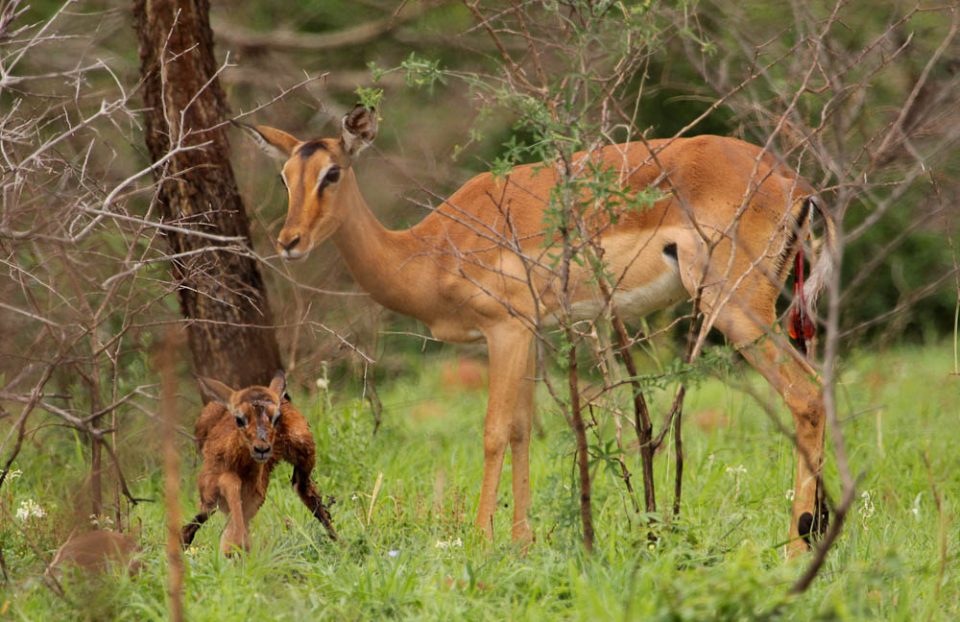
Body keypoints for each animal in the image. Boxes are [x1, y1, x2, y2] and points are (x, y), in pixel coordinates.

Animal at [181, 371, 336, 555]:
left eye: (276, 418)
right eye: (239, 419)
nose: (262, 448)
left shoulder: (254, 493)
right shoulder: (210, 489)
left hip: (304, 452)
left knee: (306, 491)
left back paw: (339, 542)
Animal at [240, 105, 837, 557]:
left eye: (332, 173)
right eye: (285, 177)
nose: (289, 242)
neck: (430, 250)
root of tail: (795, 184)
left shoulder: (505, 330)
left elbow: (494, 430)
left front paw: (480, 540)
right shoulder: (530, 332)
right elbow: (525, 428)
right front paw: (521, 543)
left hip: (736, 305)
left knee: (806, 392)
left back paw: (795, 548)